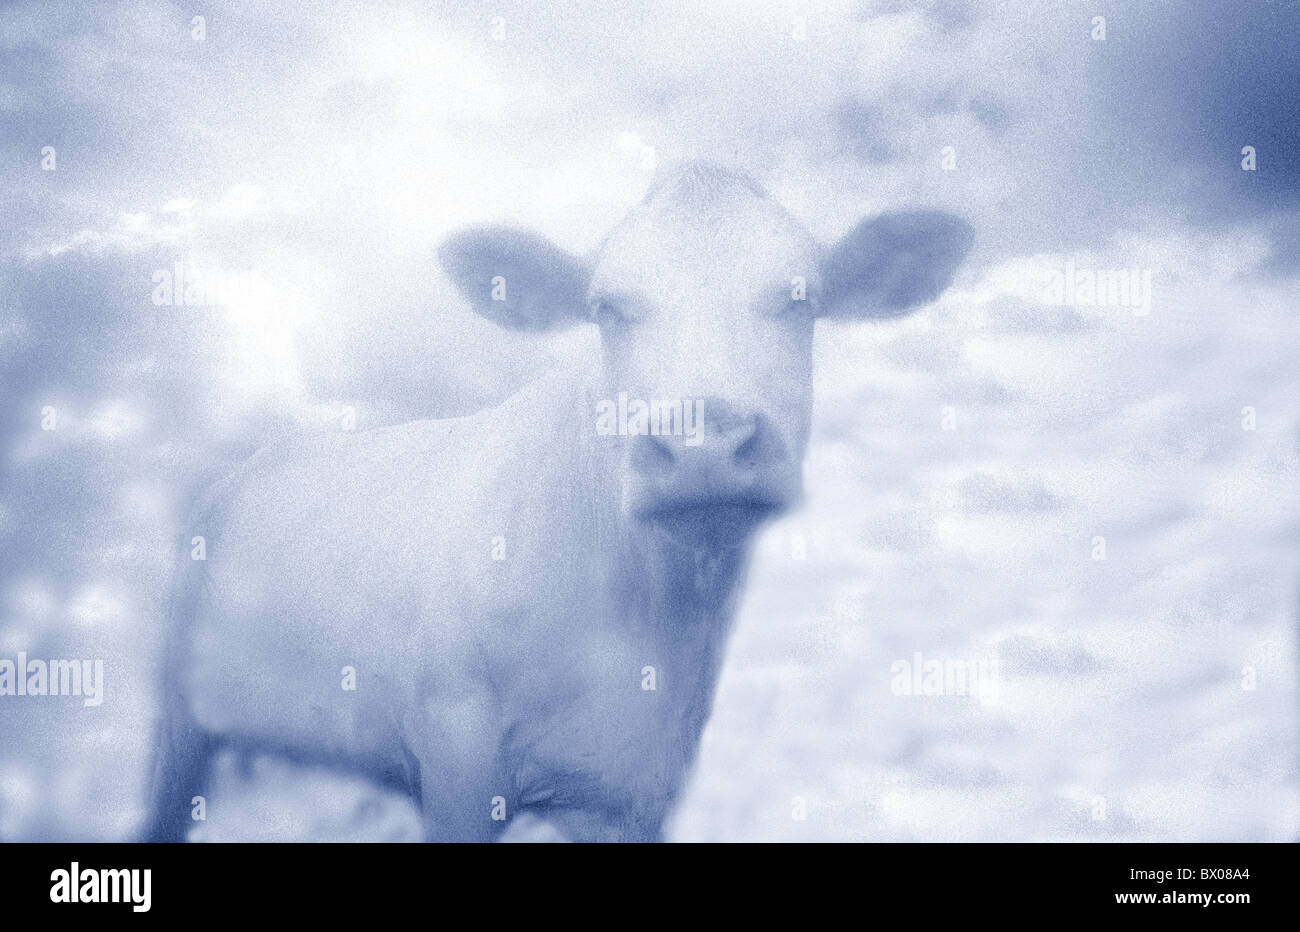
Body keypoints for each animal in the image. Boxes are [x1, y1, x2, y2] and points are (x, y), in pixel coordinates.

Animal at [143, 162, 972, 842]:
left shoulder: (641, 788)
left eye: (802, 300)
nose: (702, 444)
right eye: (607, 308)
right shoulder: (457, 754)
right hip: (178, 719)